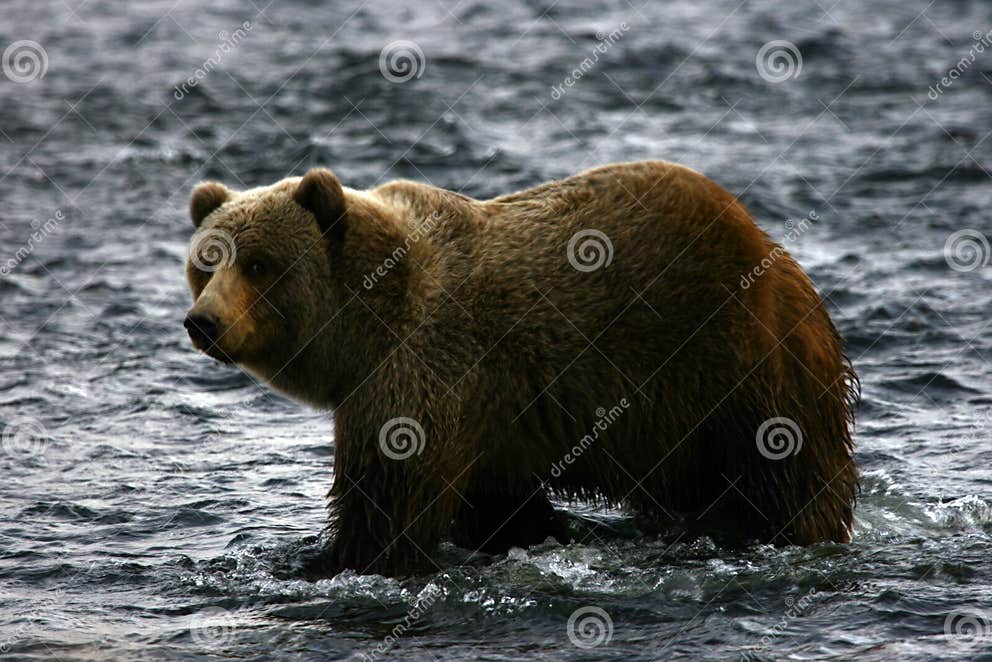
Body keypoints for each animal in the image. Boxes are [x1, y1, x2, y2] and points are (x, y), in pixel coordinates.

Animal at [183, 160, 859, 577]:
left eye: (259, 264)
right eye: (205, 261)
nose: (203, 321)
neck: (369, 327)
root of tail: (776, 253)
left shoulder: (423, 373)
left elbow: (387, 502)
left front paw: (337, 561)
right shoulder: (487, 420)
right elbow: (498, 505)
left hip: (736, 369)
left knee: (785, 477)